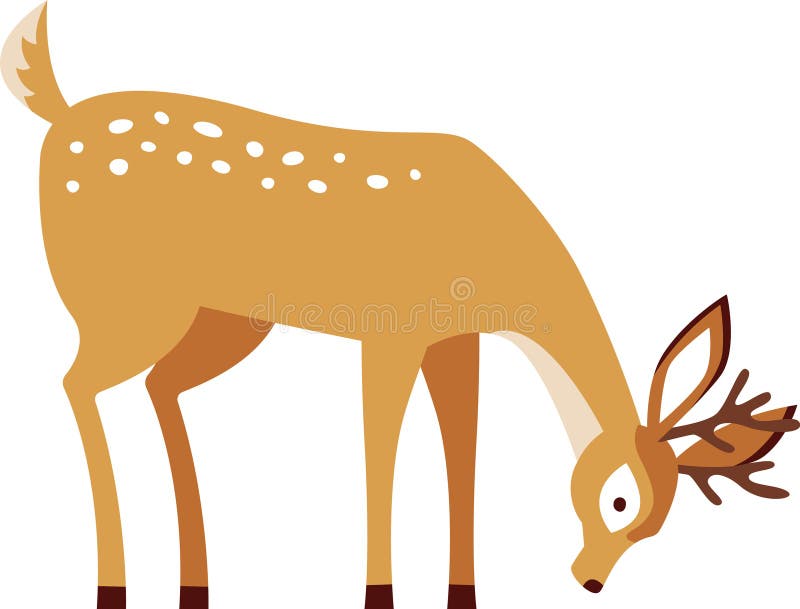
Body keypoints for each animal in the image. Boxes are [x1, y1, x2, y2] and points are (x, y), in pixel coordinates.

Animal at [2, 3, 797, 609]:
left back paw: (195, 583)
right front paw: (377, 593)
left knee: (158, 385)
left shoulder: (457, 339)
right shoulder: (390, 330)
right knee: (77, 381)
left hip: (226, 319)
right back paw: (112, 584)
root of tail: (57, 116)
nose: (592, 580)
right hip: (126, 301)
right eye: (622, 501)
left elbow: (463, 449)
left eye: (656, 524)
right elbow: (379, 449)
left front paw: (462, 593)